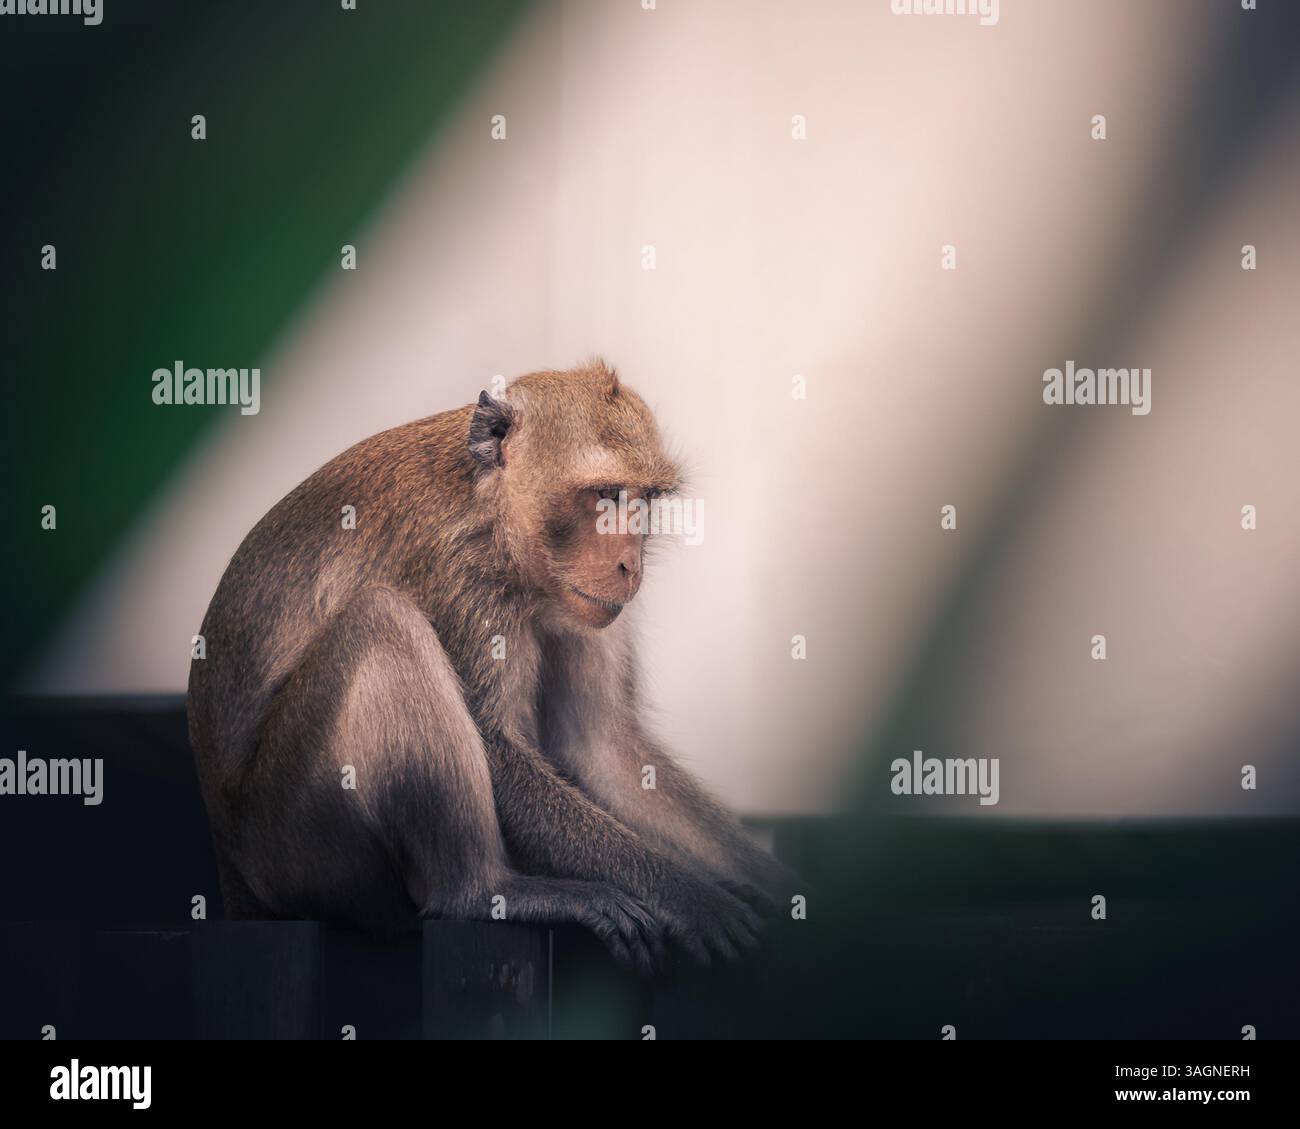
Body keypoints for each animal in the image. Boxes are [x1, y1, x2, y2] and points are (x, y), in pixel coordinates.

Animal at [187, 359, 791, 974]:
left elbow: (601, 747)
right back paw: (480, 890)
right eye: (605, 495)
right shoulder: (456, 571)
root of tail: (234, 871)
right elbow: (497, 749)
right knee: (381, 622)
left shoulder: (584, 603)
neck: (493, 512)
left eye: (642, 500)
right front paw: (690, 898)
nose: (631, 564)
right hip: (293, 840)